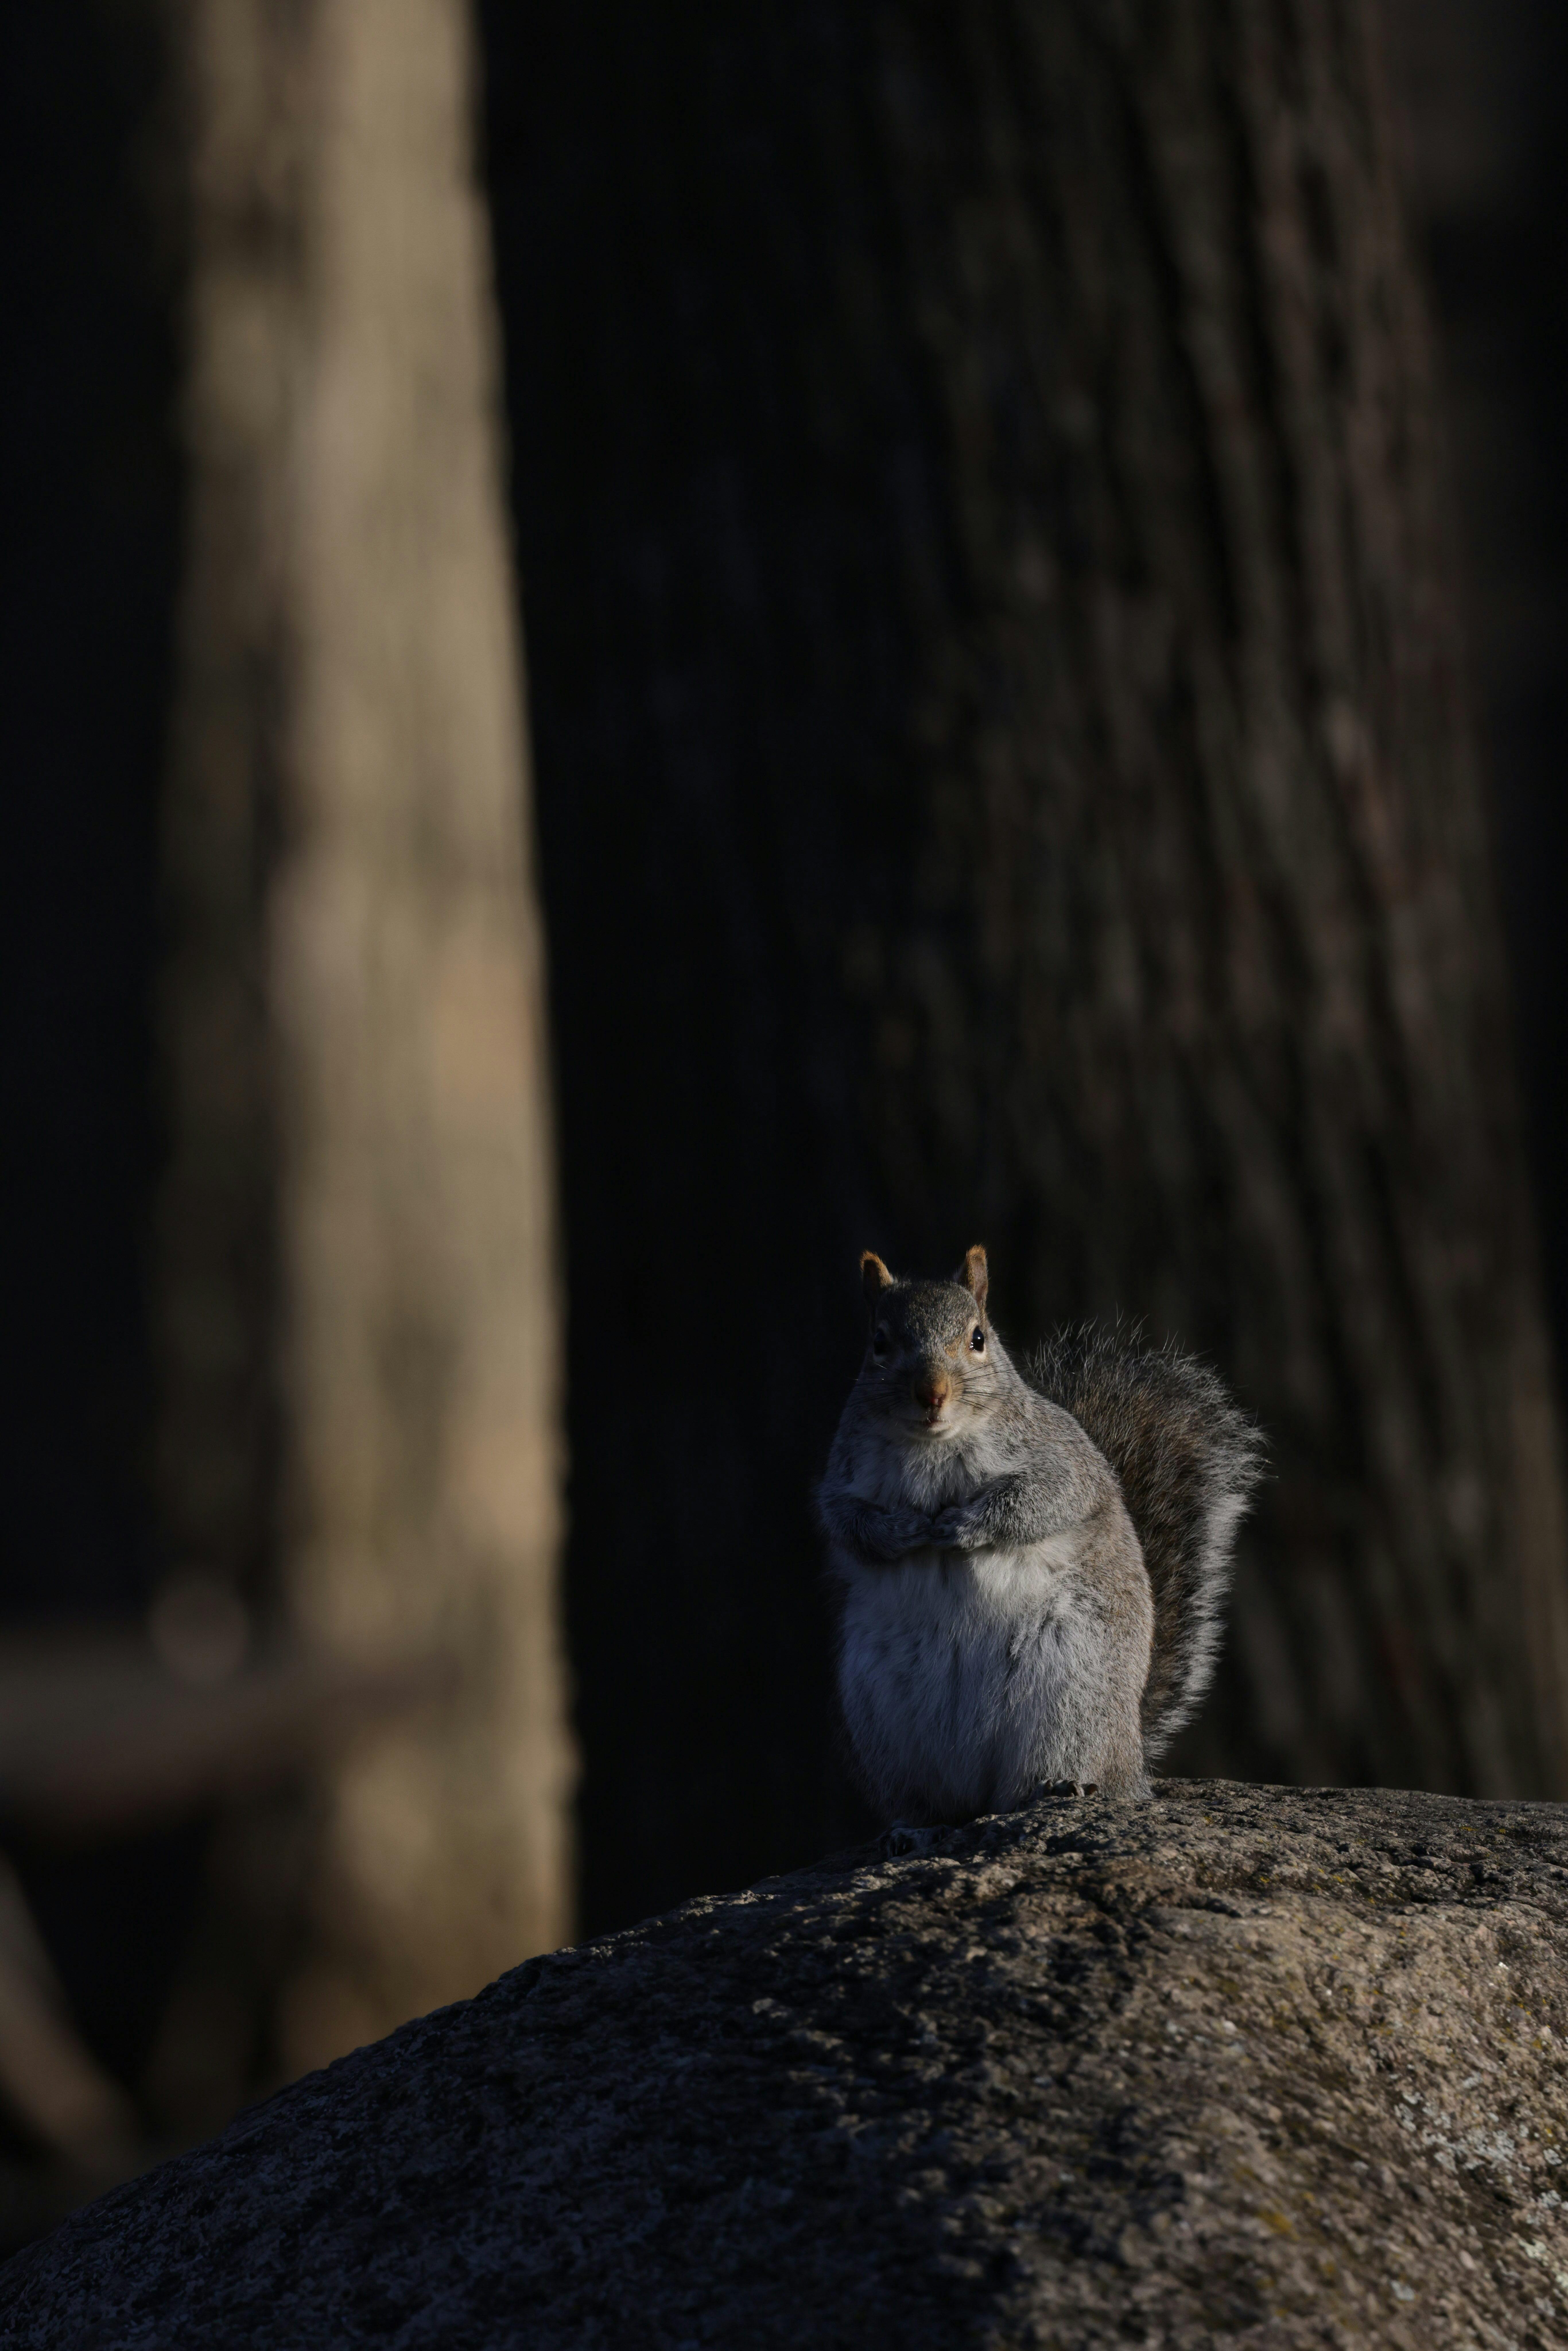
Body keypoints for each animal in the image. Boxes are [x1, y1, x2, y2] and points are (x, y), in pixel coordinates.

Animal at [816, 1245, 1263, 1820]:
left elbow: (1044, 1500)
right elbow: (848, 1522)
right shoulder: (841, 1479)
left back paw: (1059, 1787)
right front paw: (902, 1530)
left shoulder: (1063, 1460)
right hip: (883, 1720)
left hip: (1070, 1699)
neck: (932, 1445)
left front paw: (965, 1524)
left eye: (978, 1338)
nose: (931, 1394)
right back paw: (914, 1821)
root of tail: (1131, 1760)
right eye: (878, 1343)